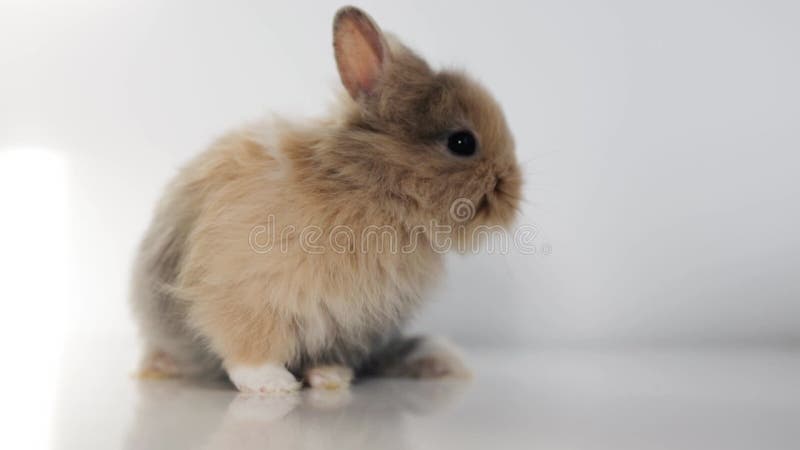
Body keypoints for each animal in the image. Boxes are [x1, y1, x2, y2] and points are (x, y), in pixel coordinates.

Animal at [130, 6, 522, 394]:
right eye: (462, 142)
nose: (514, 192)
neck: (368, 184)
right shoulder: (242, 295)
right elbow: (249, 352)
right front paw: (272, 384)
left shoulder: (346, 323)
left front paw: (330, 377)